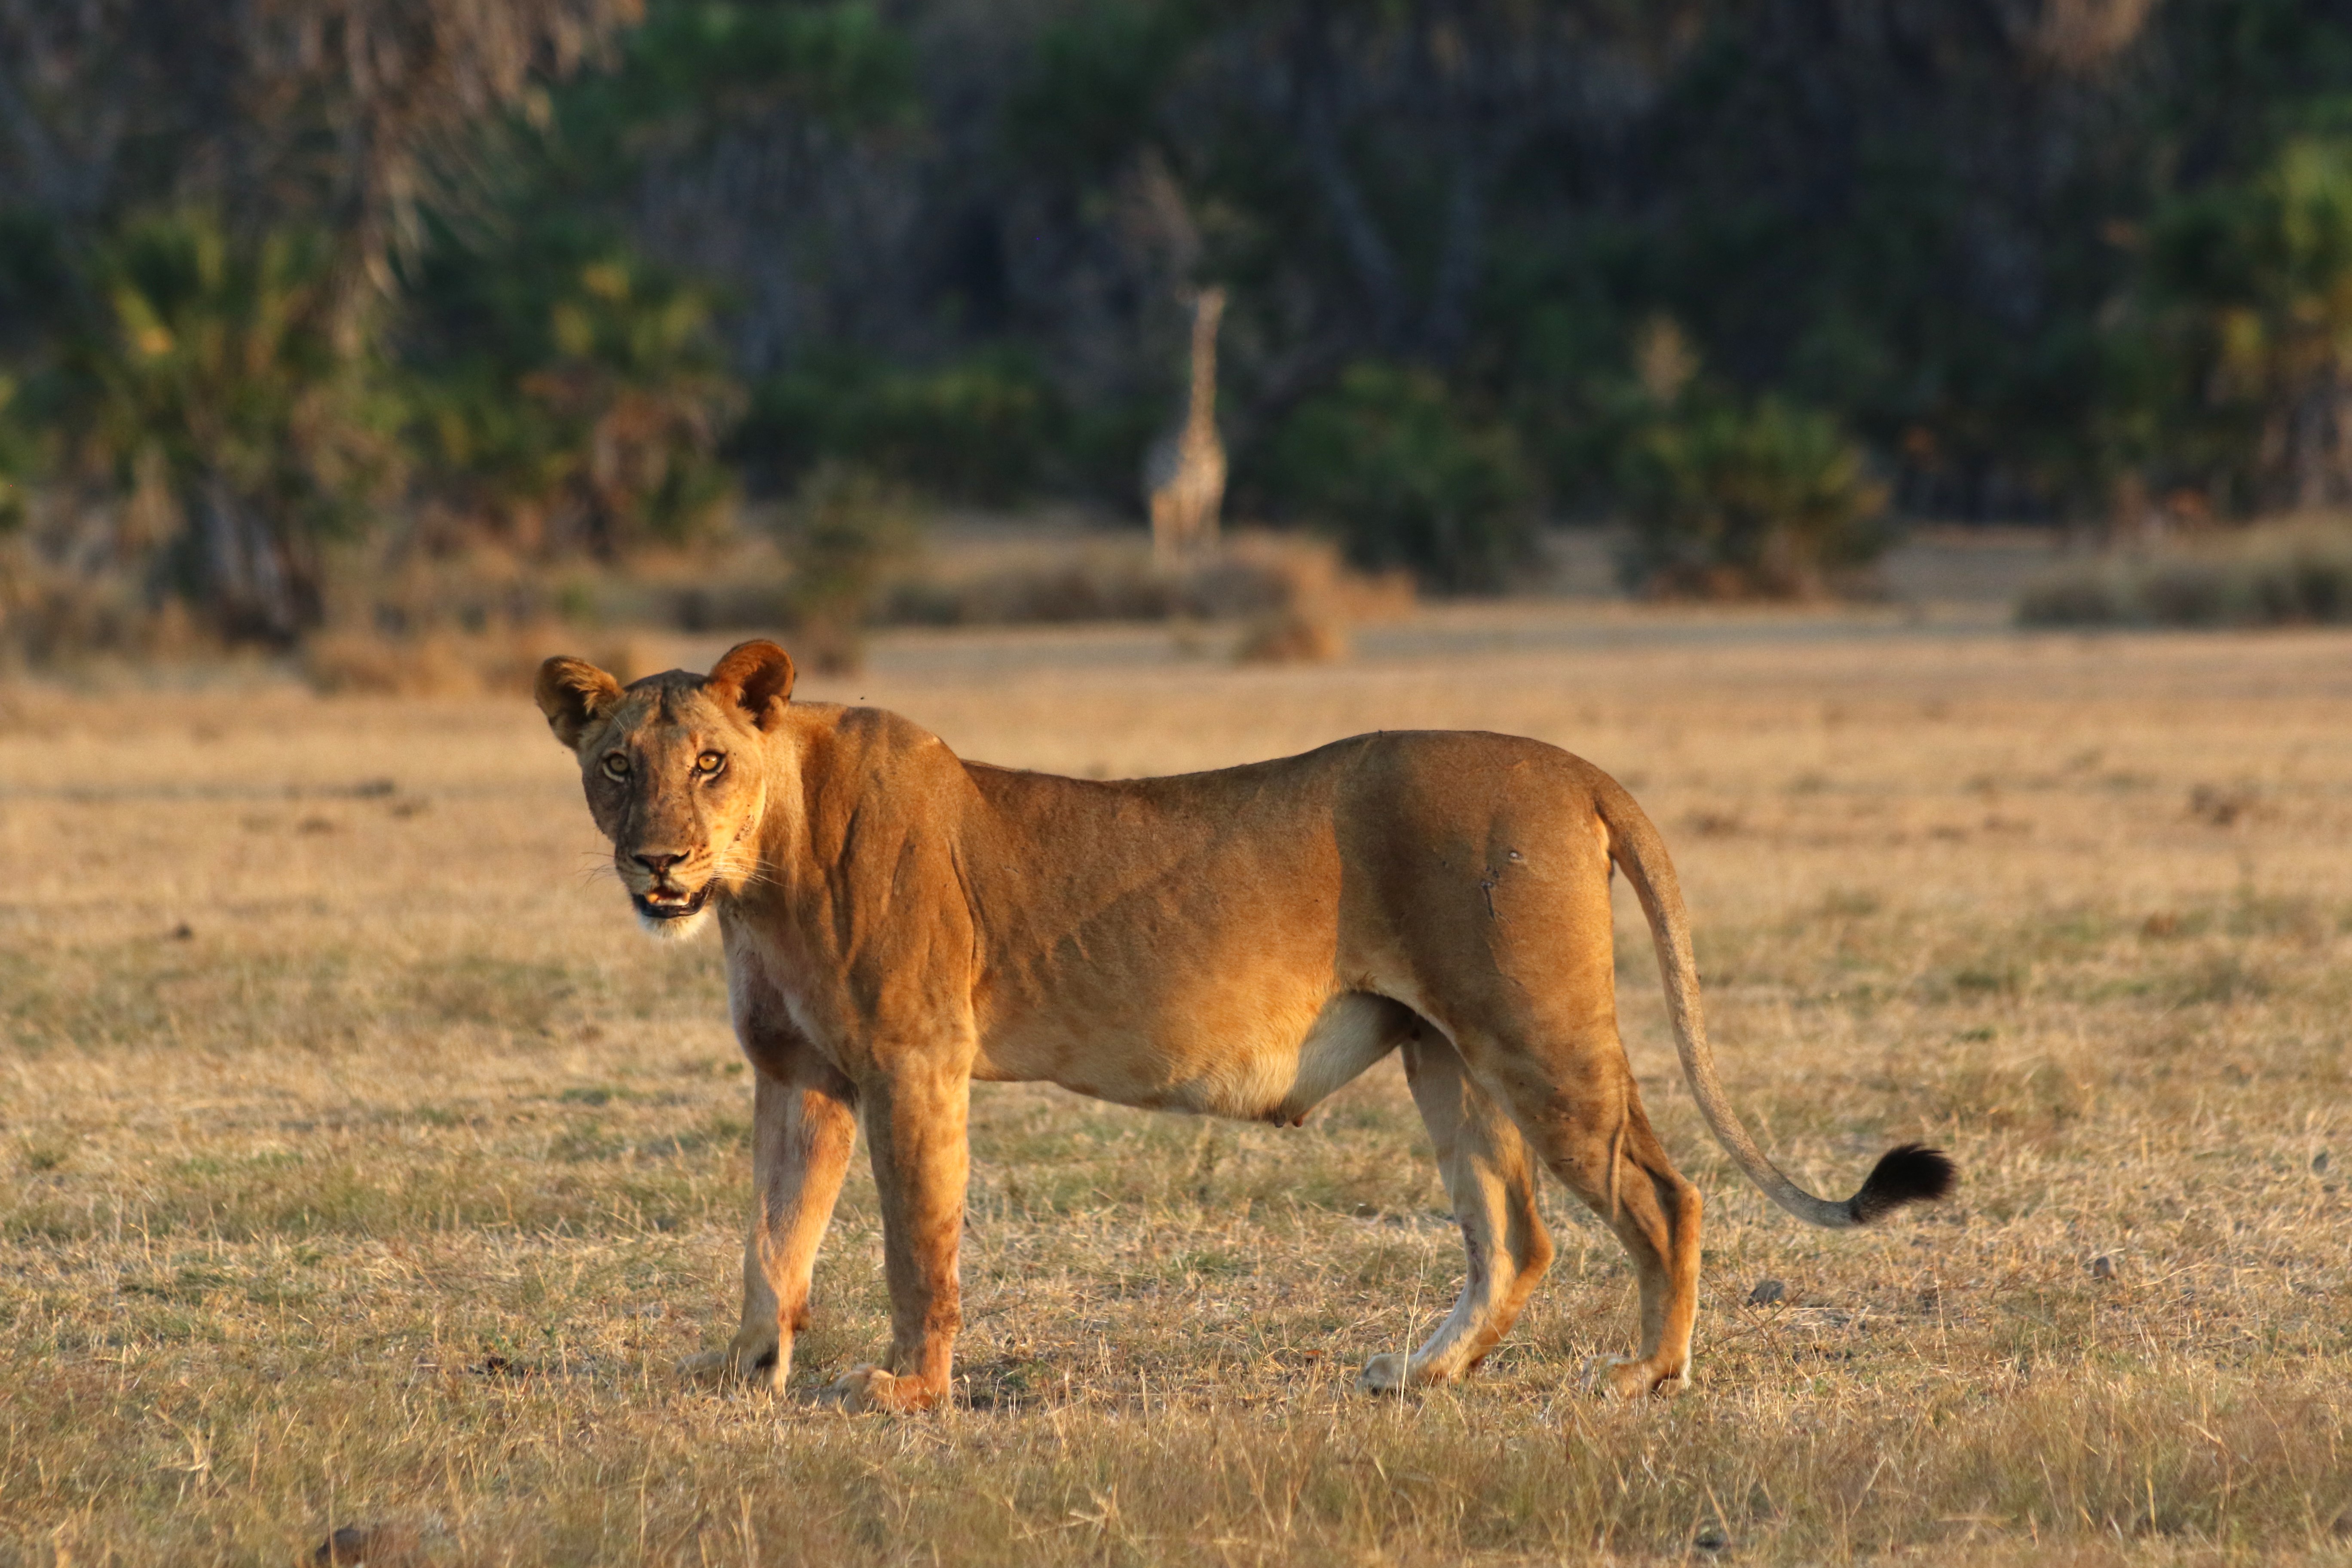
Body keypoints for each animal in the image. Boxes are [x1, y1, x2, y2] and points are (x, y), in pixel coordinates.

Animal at [535, 639, 1953, 1410]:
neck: (760, 881)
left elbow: (913, 1246)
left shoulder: (912, 1062)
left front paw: (909, 1391)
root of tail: (1574, 767)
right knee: (1517, 1236)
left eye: (709, 762)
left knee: (1665, 1194)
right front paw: (737, 1367)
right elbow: (771, 1239)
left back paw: (1645, 1376)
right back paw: (1419, 1374)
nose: (658, 863)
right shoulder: (799, 1077)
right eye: (616, 767)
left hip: (1534, 1028)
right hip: (1445, 1052)